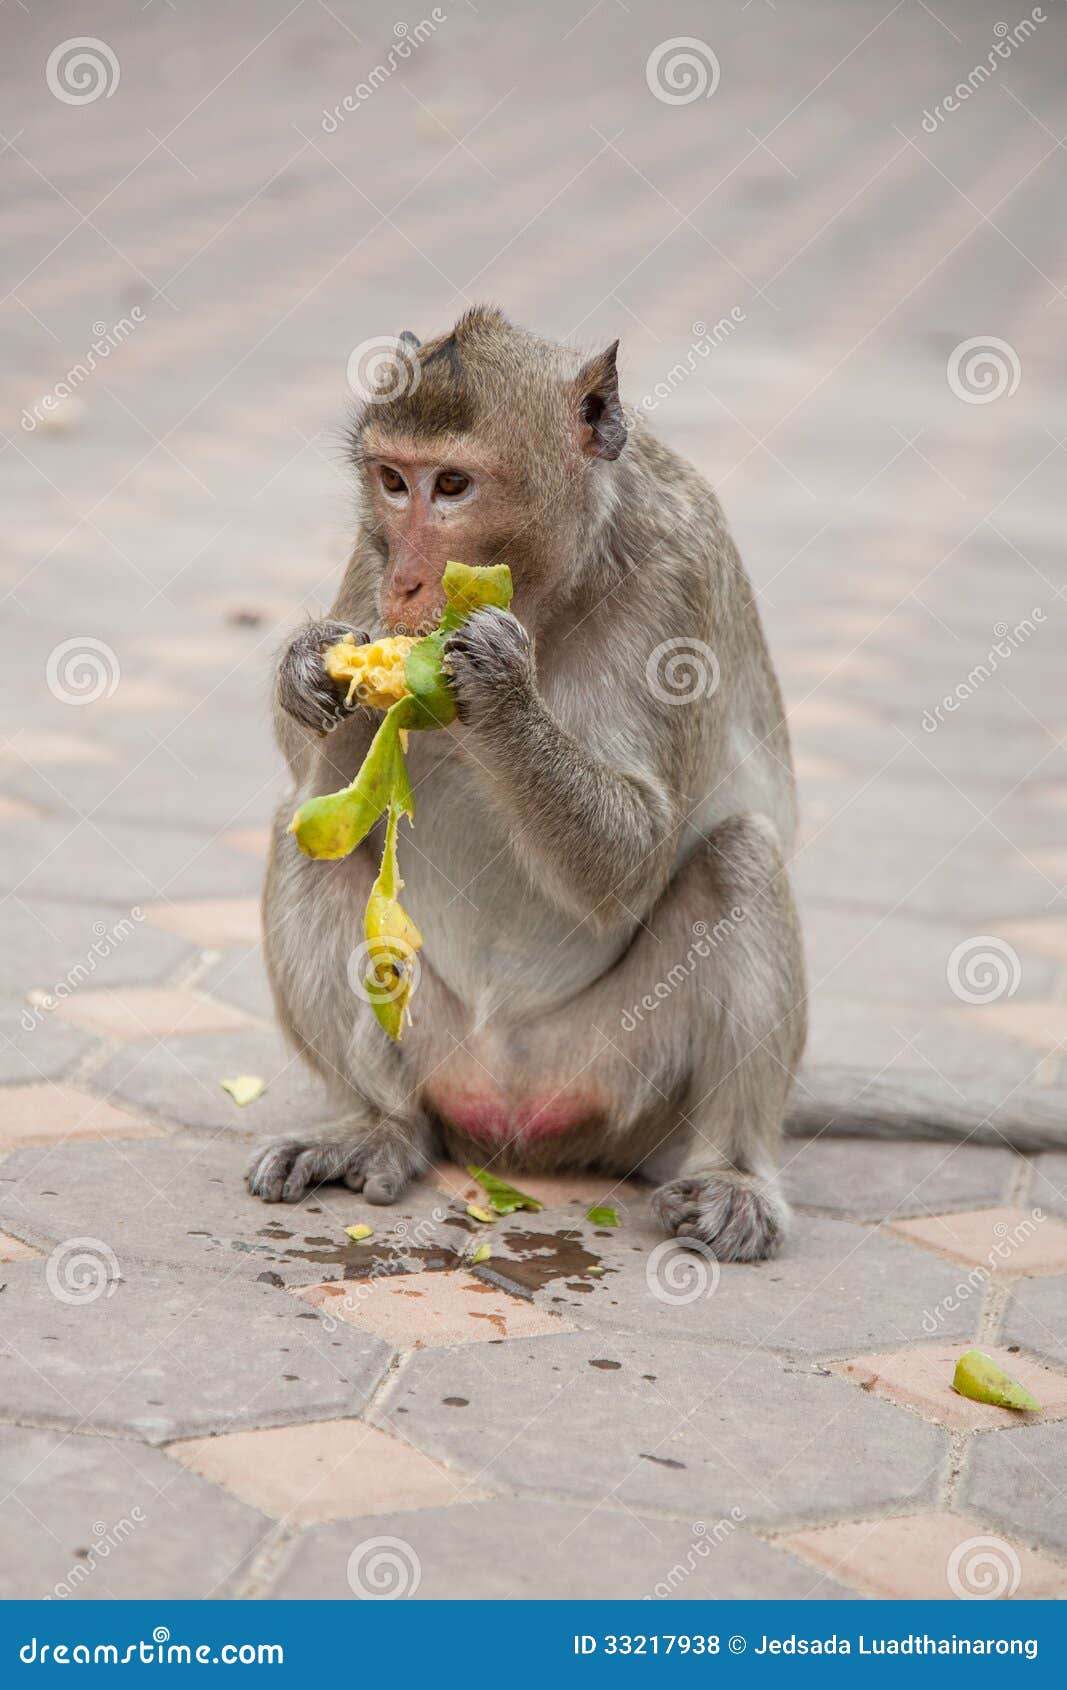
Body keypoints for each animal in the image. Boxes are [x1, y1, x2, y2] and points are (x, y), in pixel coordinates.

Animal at [247, 307, 1066, 1263]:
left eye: (450, 485)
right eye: (389, 480)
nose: (409, 580)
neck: (550, 588)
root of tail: (506, 1114)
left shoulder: (680, 572)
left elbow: (631, 863)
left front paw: (498, 689)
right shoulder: (363, 557)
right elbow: (321, 786)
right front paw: (309, 668)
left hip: (618, 1073)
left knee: (737, 857)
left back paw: (733, 1175)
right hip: (431, 1047)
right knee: (306, 837)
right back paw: (375, 1125)